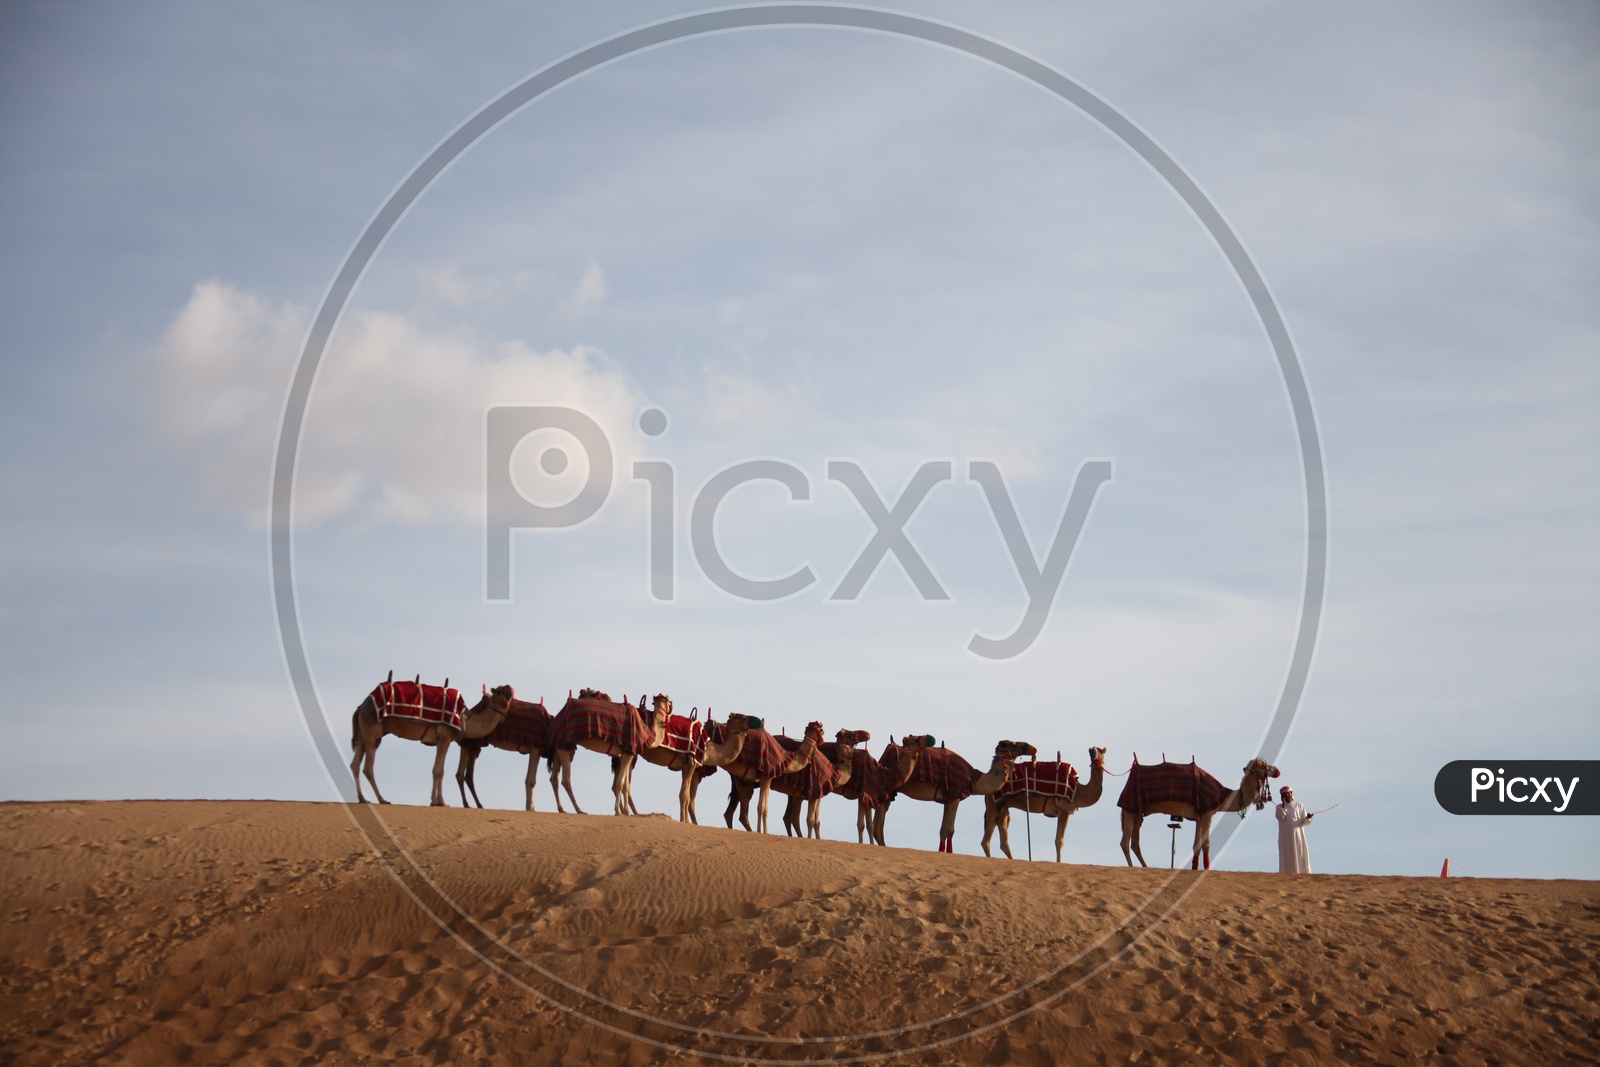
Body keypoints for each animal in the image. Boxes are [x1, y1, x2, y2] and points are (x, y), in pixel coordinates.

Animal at [349, 677, 515, 806]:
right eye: (499, 691)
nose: (509, 688)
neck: (465, 720)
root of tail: (360, 708)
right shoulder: (445, 737)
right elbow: (439, 771)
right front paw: (440, 802)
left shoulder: (439, 740)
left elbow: (437, 769)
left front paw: (435, 801)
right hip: (373, 731)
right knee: (368, 768)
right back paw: (382, 800)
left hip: (364, 734)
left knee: (355, 765)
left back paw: (363, 799)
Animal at [871, 740, 1017, 853]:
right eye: (1010, 744)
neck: (974, 779)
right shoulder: (955, 795)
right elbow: (950, 830)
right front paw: (947, 853)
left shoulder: (947, 800)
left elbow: (943, 830)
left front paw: (942, 851)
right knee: (877, 825)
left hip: (891, 792)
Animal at [1117, 755, 1280, 870]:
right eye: (1263, 766)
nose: (1277, 770)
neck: (1223, 796)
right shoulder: (1208, 812)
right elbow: (1206, 844)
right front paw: (1207, 869)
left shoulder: (1199, 816)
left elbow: (1197, 845)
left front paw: (1195, 869)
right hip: (1130, 809)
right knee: (1125, 842)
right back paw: (1132, 867)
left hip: (1139, 812)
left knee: (1135, 842)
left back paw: (1145, 866)